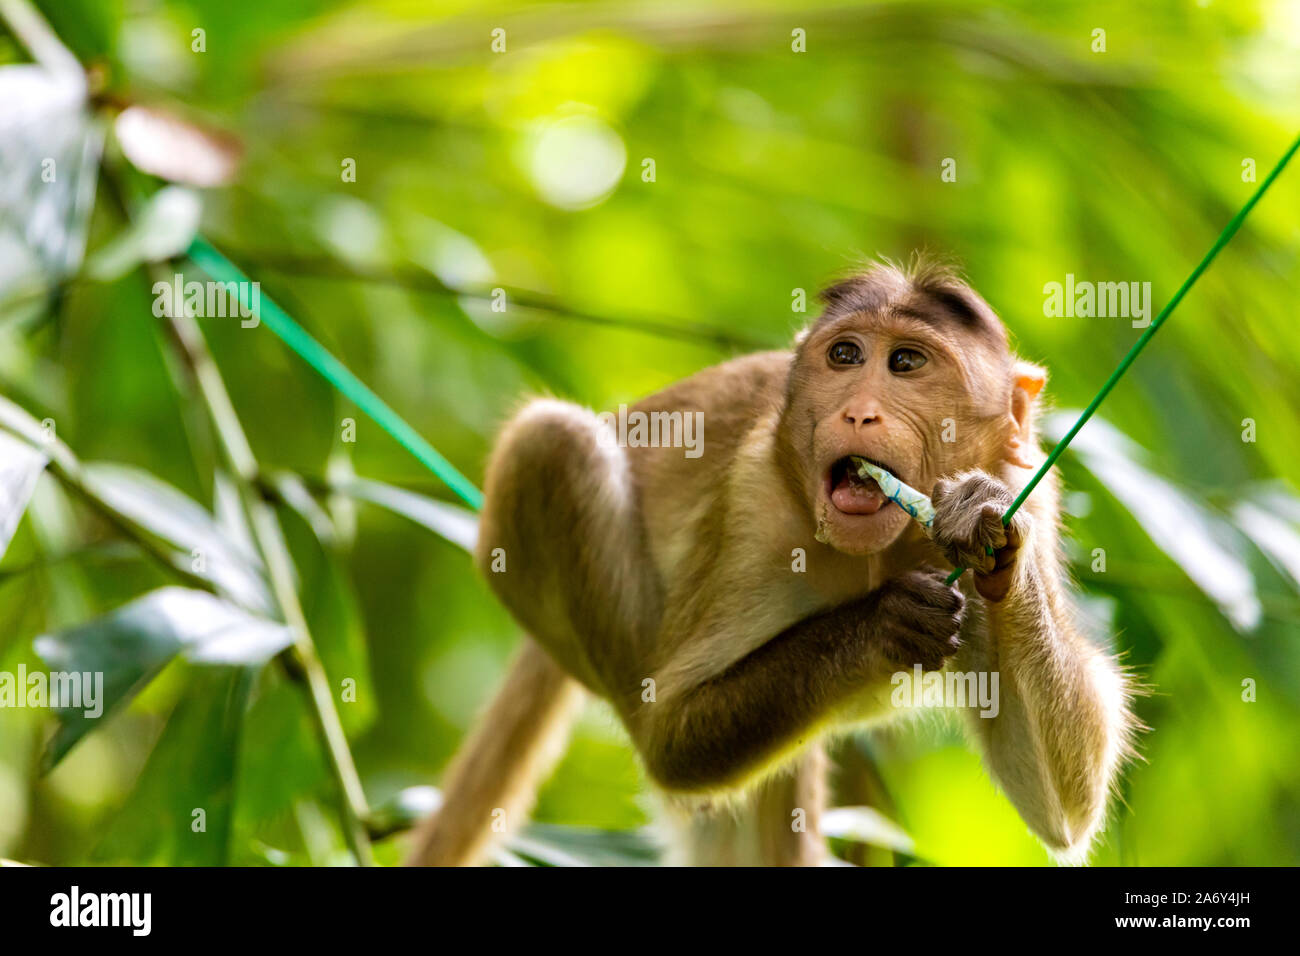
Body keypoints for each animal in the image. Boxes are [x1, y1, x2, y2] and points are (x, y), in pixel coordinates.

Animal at [406, 256, 1136, 867]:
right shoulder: (756, 507)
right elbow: (670, 734)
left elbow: (1062, 808)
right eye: (845, 355)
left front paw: (986, 528)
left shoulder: (1031, 488)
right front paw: (881, 623)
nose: (858, 411)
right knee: (553, 442)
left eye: (906, 362)